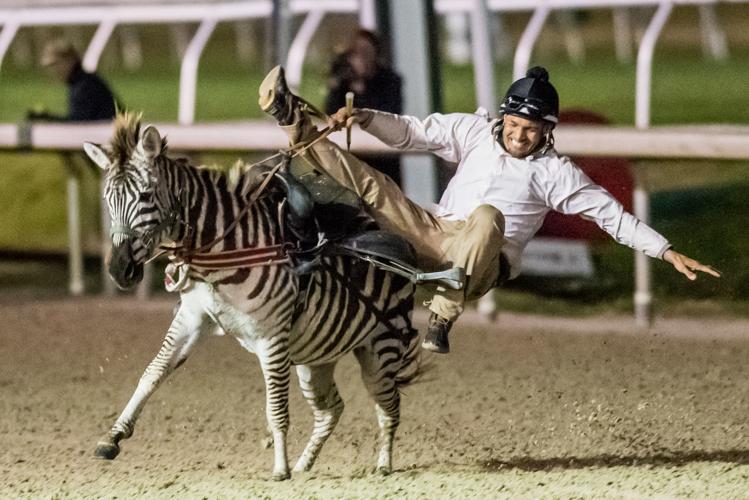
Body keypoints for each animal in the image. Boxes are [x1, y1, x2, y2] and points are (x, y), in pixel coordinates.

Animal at [84, 113, 420, 480]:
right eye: (106, 199)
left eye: (146, 194)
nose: (119, 269)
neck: (222, 251)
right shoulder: (192, 318)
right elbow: (152, 373)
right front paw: (113, 436)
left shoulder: (271, 336)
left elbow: (276, 407)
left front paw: (280, 468)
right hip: (316, 357)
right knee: (332, 409)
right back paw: (305, 464)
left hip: (380, 349)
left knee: (389, 405)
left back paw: (383, 464)